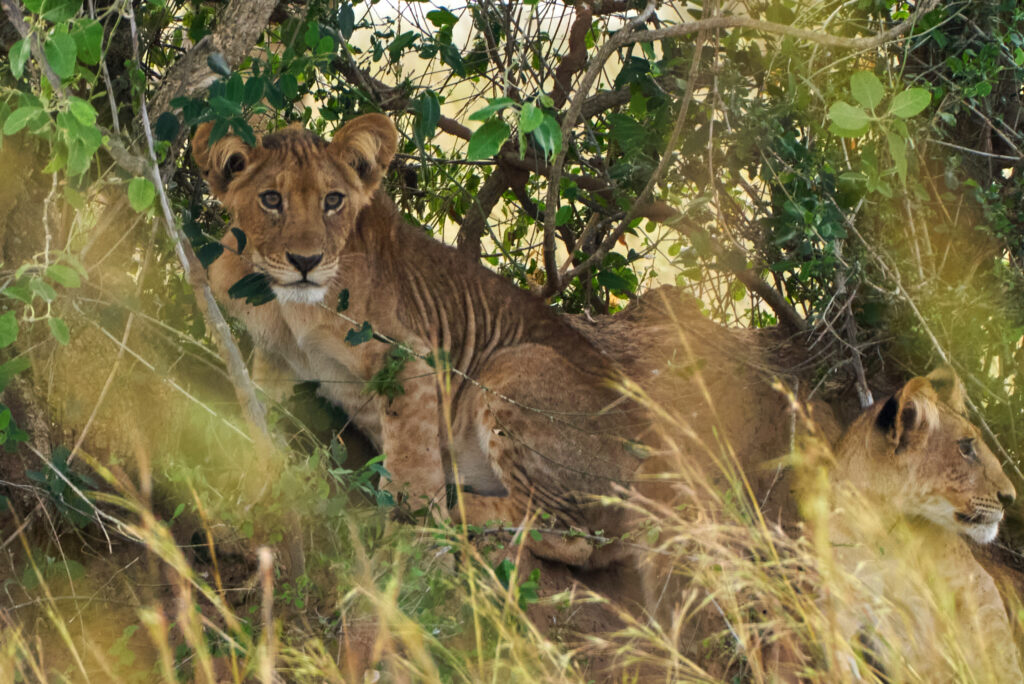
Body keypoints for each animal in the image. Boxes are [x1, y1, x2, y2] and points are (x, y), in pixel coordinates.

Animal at [191, 114, 800, 569]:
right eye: (271, 200)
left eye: (333, 201)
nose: (306, 261)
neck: (290, 305)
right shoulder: (274, 357)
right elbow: (256, 428)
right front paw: (241, 507)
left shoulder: (412, 357)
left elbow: (411, 467)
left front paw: (413, 542)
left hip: (512, 365)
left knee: (576, 537)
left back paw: (457, 507)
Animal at [825, 368, 1022, 681]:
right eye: (966, 447)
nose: (1010, 498)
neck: (888, 529)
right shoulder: (846, 595)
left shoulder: (981, 591)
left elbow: (997, 659)